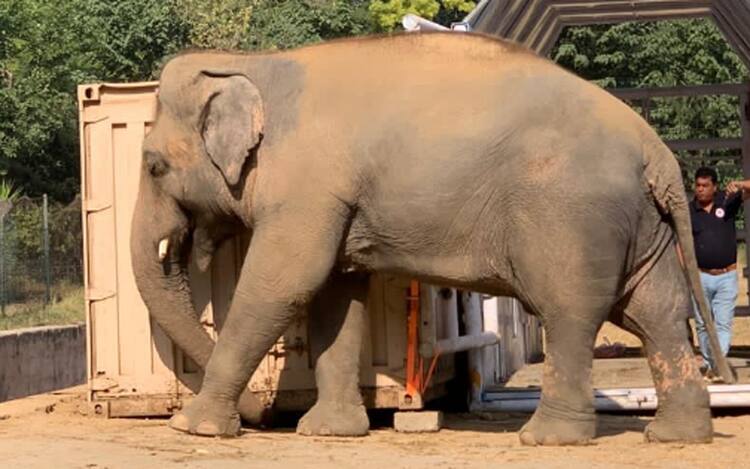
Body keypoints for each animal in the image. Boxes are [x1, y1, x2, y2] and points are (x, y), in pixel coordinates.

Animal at [130, 31, 734, 446]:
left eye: (154, 166)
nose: (264, 415)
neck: (250, 63)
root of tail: (655, 148)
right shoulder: (333, 198)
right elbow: (336, 296)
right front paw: (328, 433)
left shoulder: (308, 187)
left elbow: (284, 282)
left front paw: (192, 428)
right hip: (642, 223)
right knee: (657, 312)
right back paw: (675, 437)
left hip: (572, 219)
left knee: (569, 314)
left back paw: (546, 439)